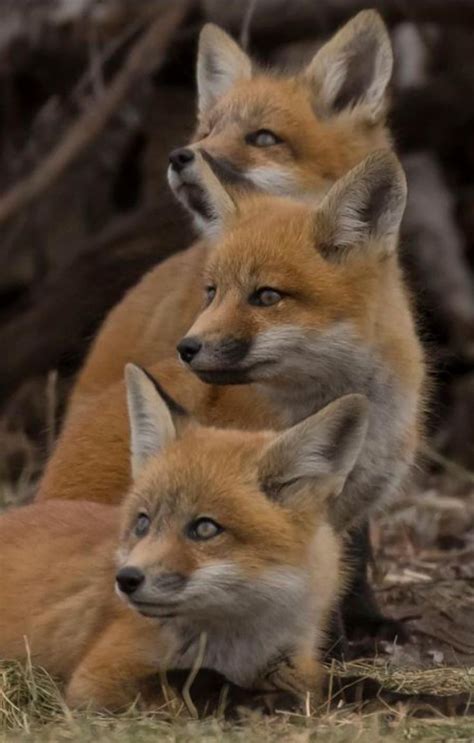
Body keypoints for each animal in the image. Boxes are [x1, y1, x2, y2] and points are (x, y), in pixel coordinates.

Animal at [0, 365, 369, 710]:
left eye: (205, 528)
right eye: (143, 522)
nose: (126, 579)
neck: (240, 641)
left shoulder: (293, 661)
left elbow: (337, 683)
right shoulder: (95, 681)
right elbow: (201, 680)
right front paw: (267, 701)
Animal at [38, 150, 425, 641]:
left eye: (266, 296)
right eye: (212, 292)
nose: (186, 347)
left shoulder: (355, 506)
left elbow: (353, 568)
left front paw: (366, 624)